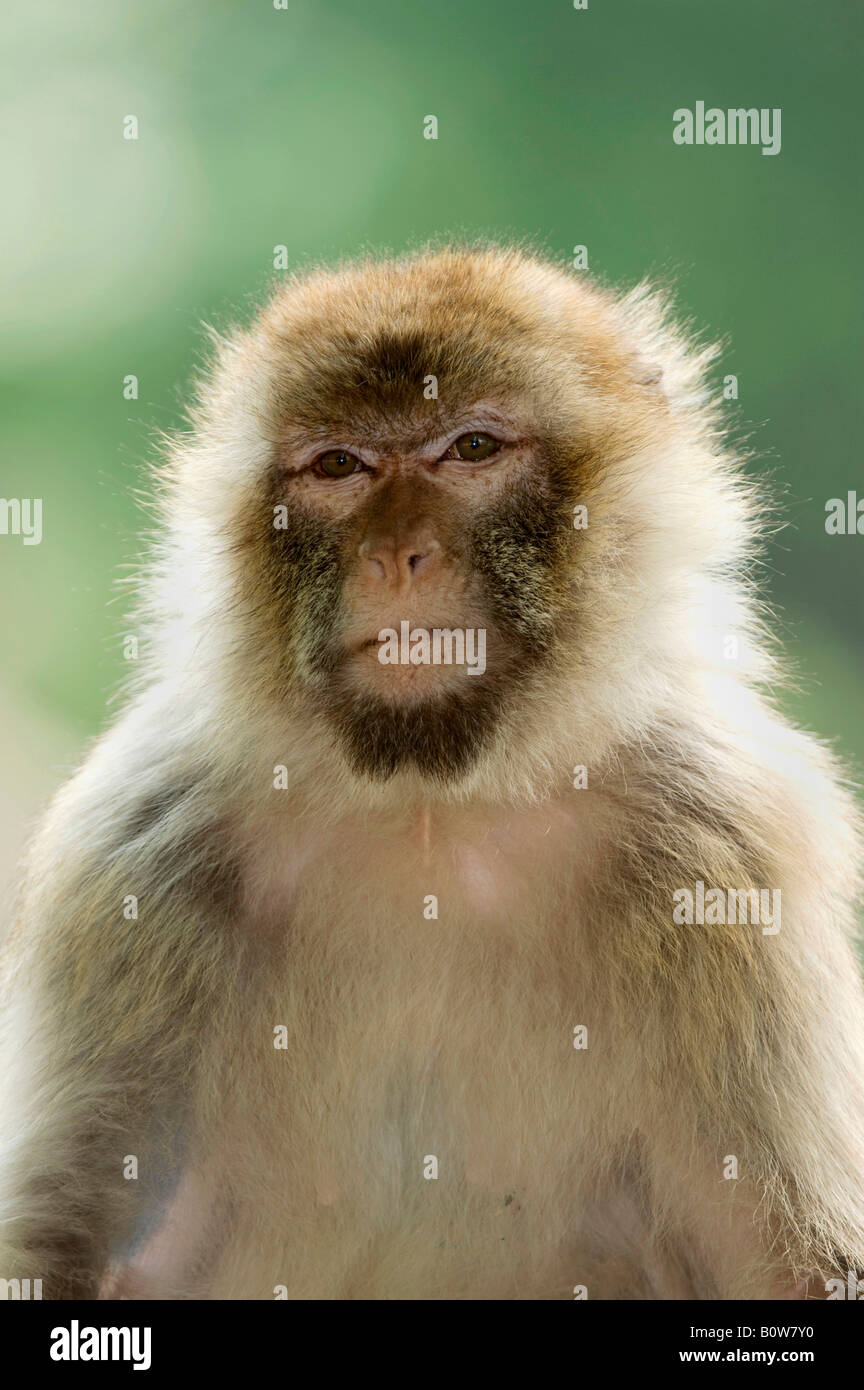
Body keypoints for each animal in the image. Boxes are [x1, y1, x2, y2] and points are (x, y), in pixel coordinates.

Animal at [1, 243, 863, 1301]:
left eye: (471, 448)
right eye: (340, 465)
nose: (397, 554)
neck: (433, 806)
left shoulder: (726, 847)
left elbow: (789, 1257)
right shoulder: (133, 852)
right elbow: (64, 1236)